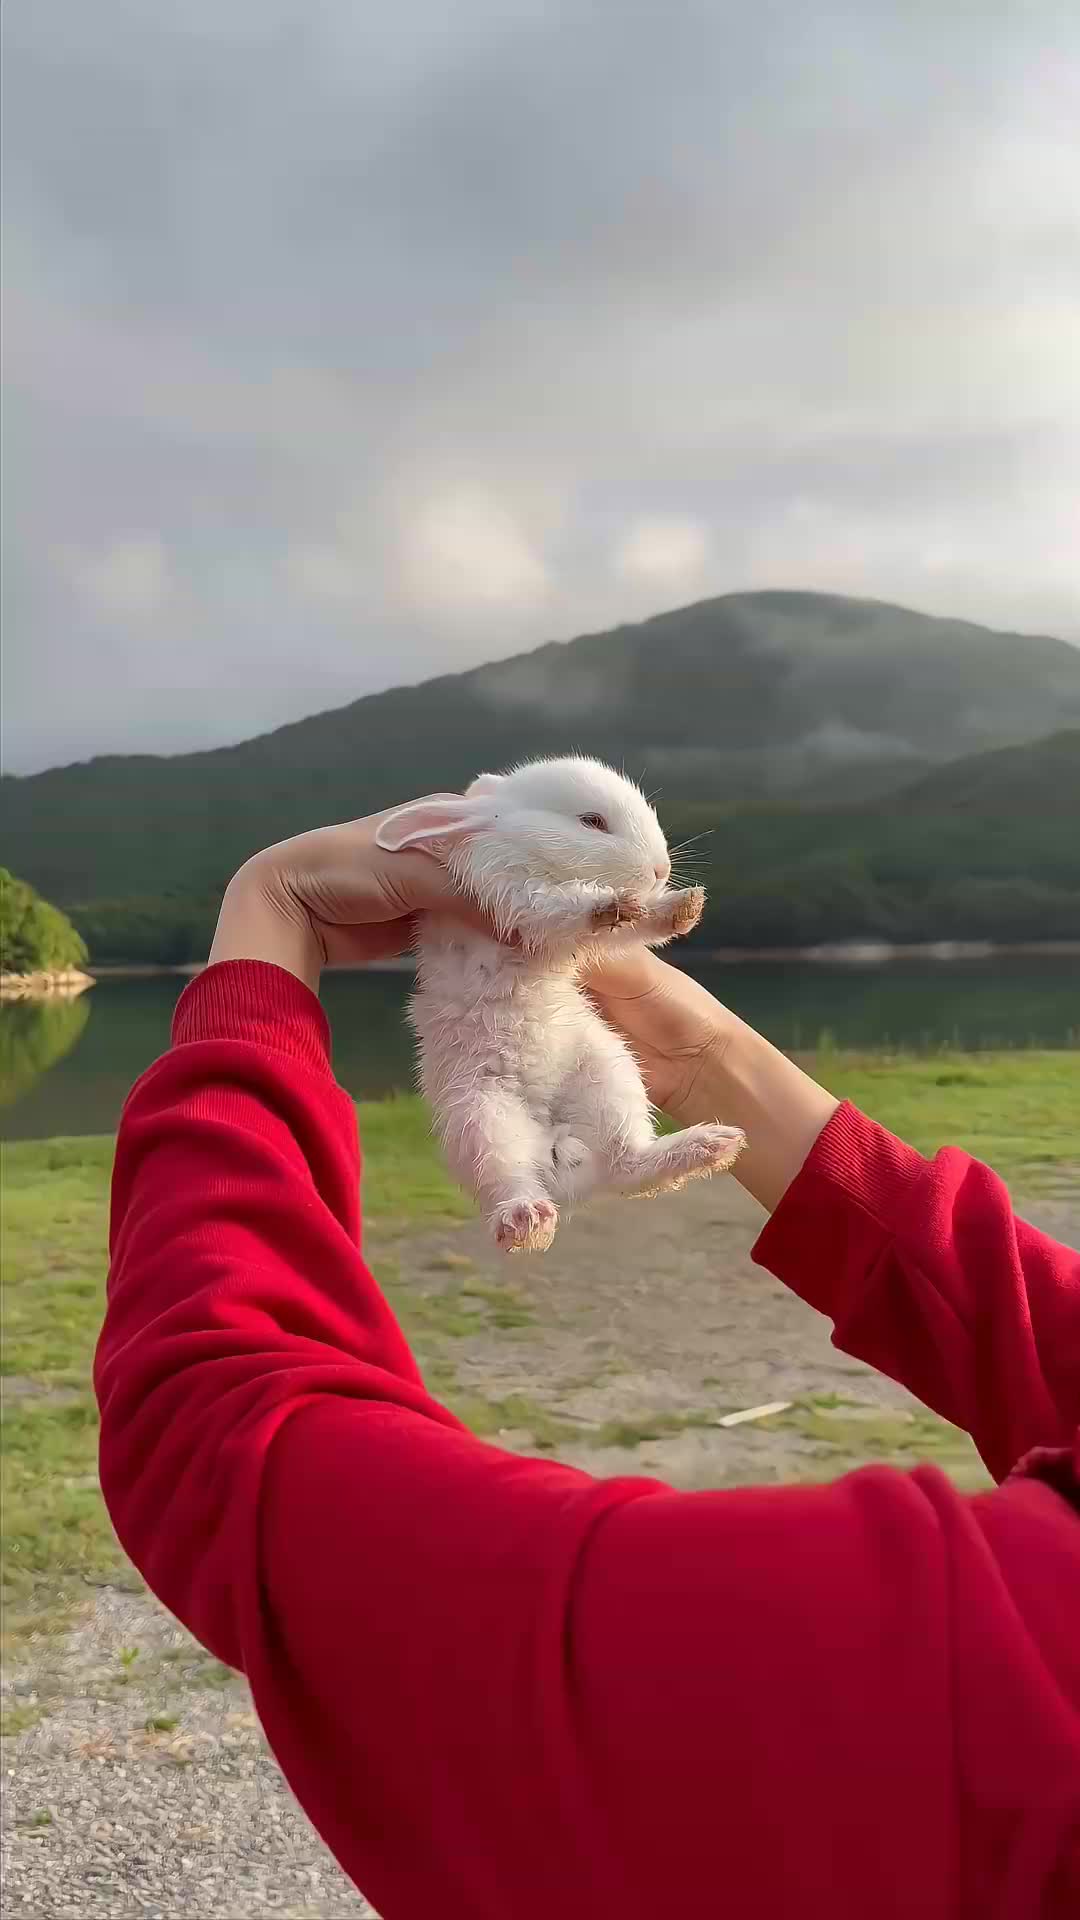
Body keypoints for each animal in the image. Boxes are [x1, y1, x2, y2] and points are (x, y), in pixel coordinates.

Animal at [375, 755, 745, 1253]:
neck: (529, 848)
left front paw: (683, 906)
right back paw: (526, 1220)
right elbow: (557, 907)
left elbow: (633, 931)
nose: (660, 870)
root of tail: (559, 1151)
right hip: (480, 1115)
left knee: (631, 1165)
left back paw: (714, 1145)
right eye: (592, 821)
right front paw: (609, 904)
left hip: (606, 1071)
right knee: (512, 1178)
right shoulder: (509, 889)